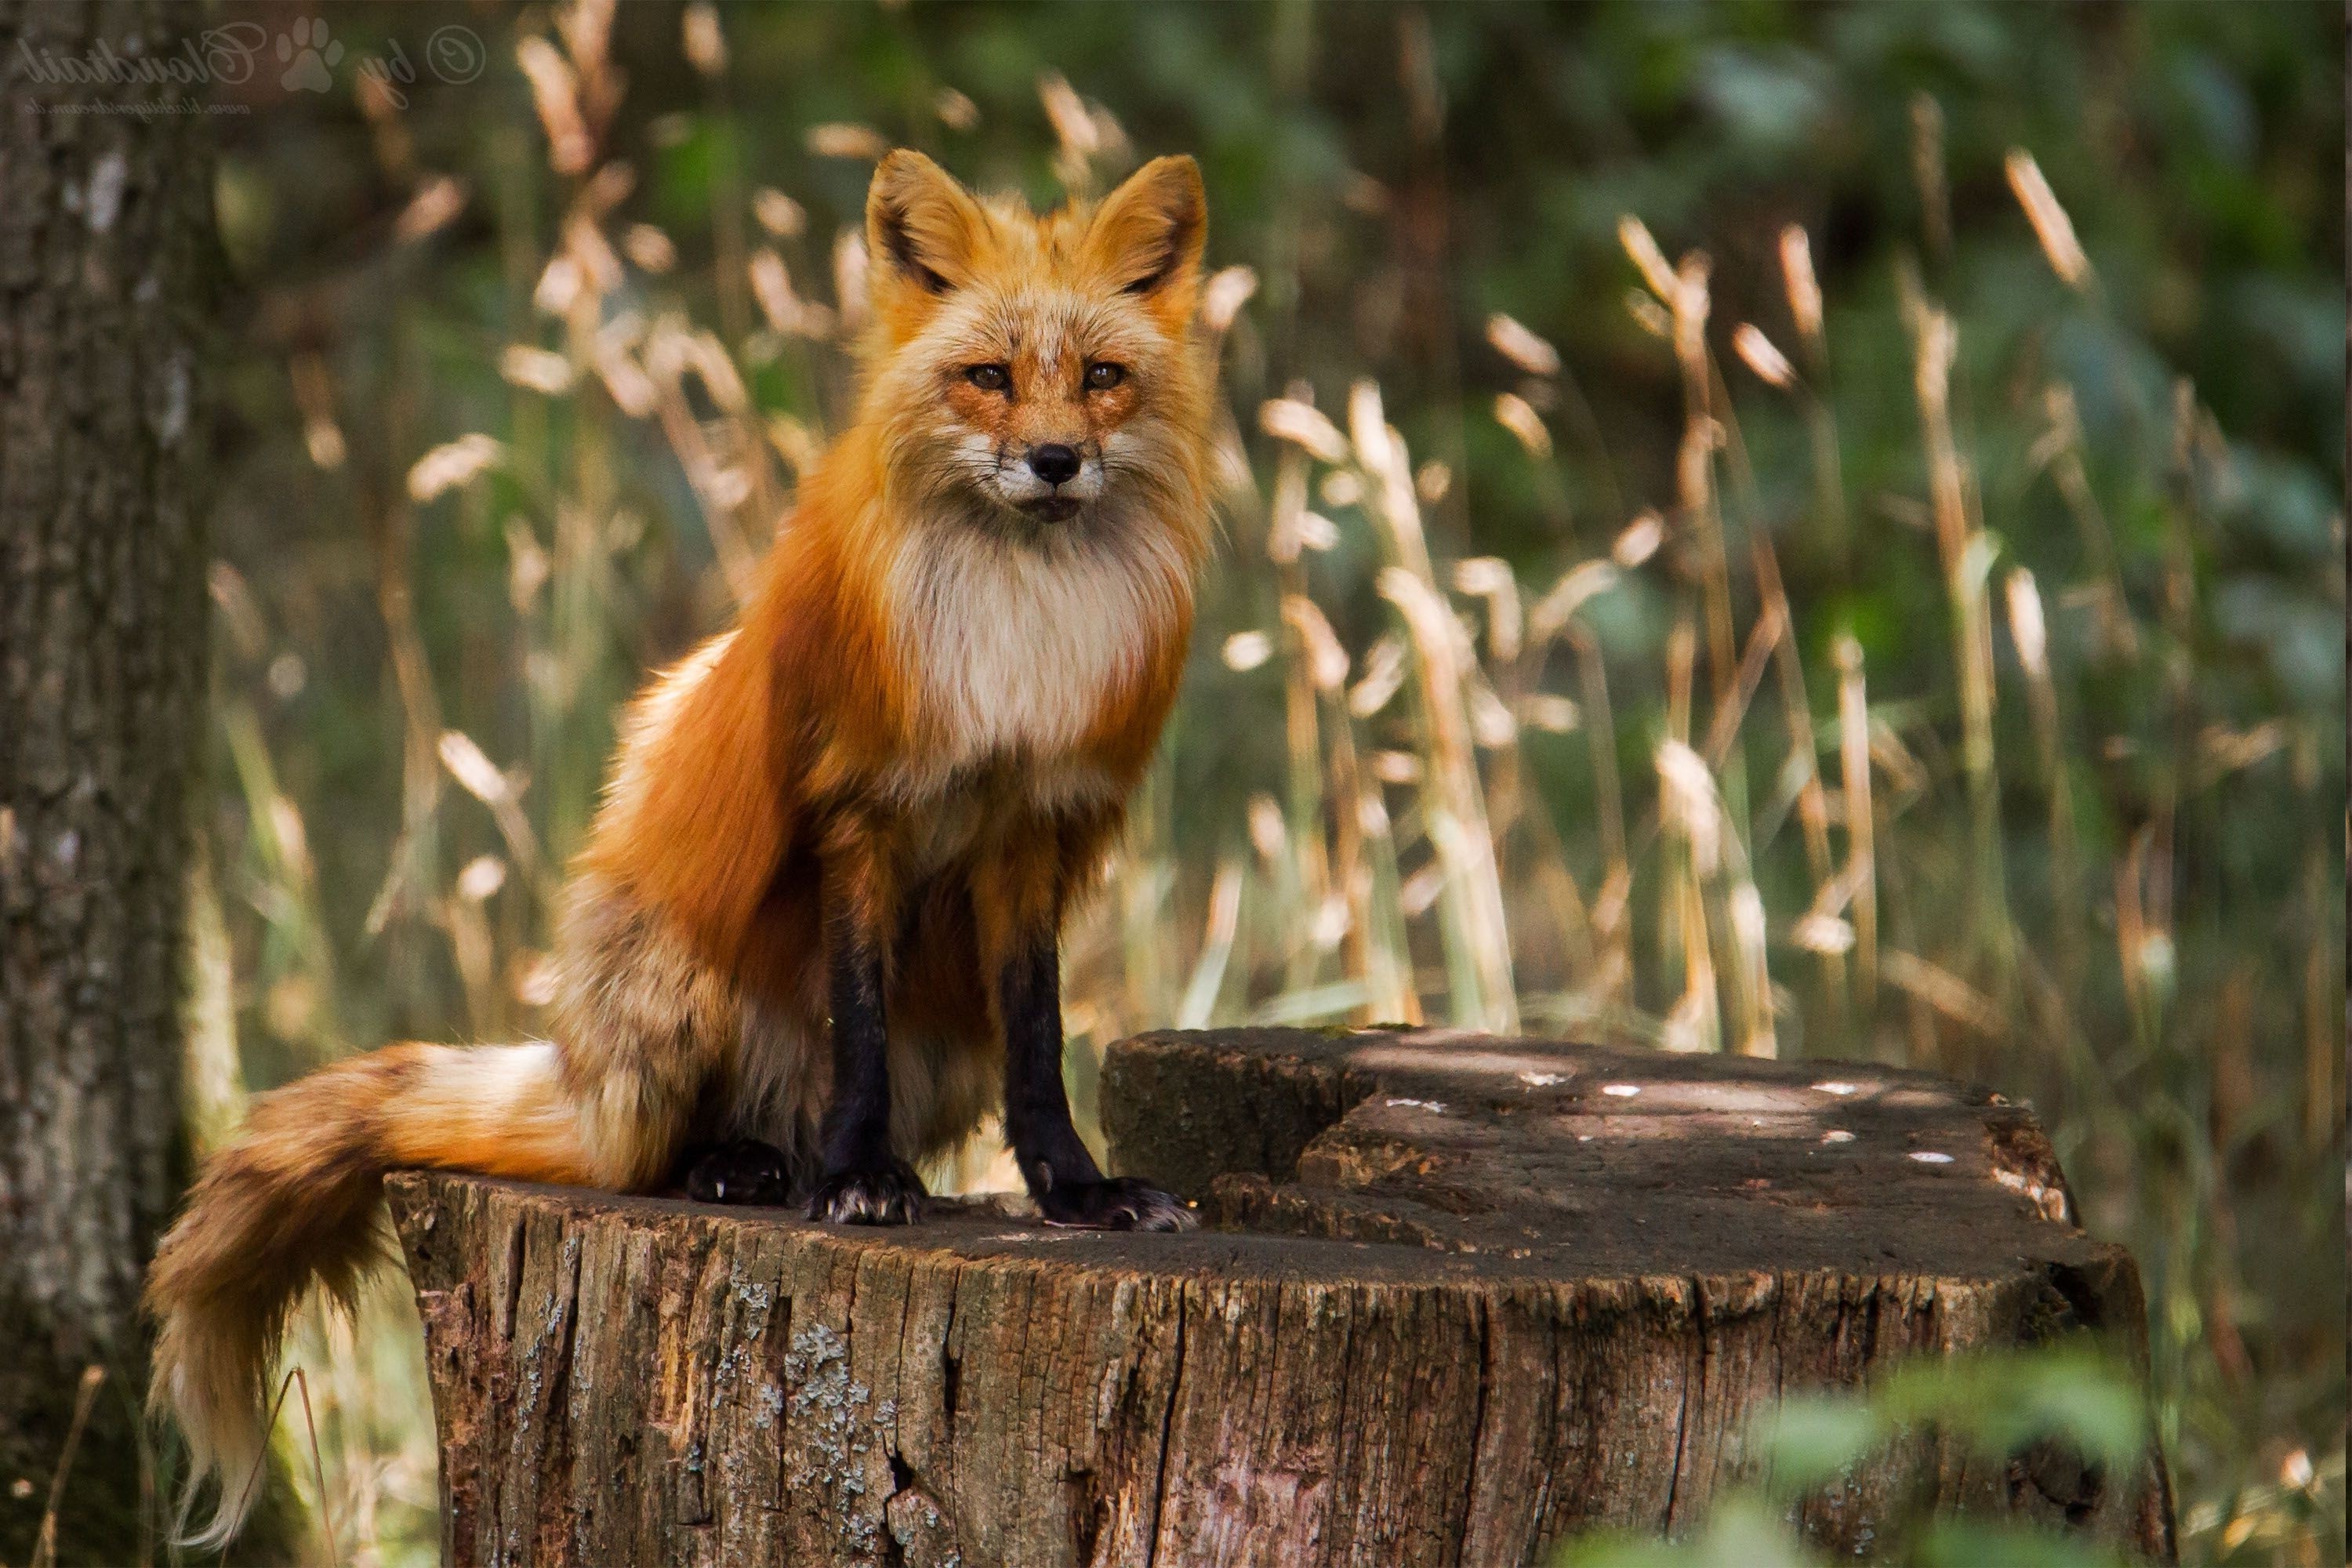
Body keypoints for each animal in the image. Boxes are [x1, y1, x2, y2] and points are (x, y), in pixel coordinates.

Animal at [145, 148, 1216, 1547]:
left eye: (1100, 378)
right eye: (986, 375)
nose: (1052, 461)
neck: (1014, 624)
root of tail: (575, 1065)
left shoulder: (1030, 831)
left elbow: (1042, 1046)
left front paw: (1077, 1196)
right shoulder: (858, 810)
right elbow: (856, 1029)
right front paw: (857, 1180)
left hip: (946, 1048)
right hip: (675, 995)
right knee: (645, 1160)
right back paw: (743, 1167)